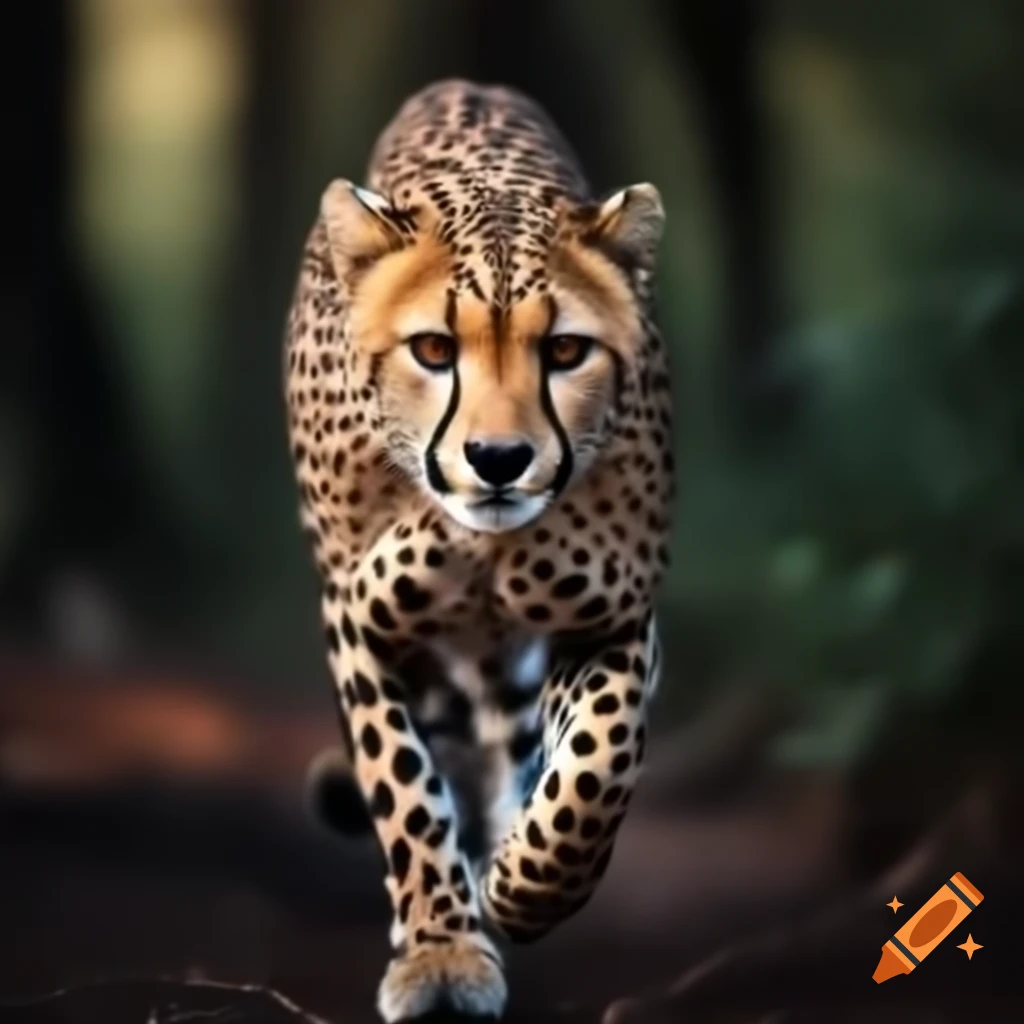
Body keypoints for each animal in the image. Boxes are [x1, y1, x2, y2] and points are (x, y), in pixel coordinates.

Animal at [283, 79, 674, 1021]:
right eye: (433, 348)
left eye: (565, 349)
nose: (498, 460)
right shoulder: (362, 624)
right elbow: (404, 790)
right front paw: (441, 954)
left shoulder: (611, 615)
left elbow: (597, 764)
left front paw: (527, 886)